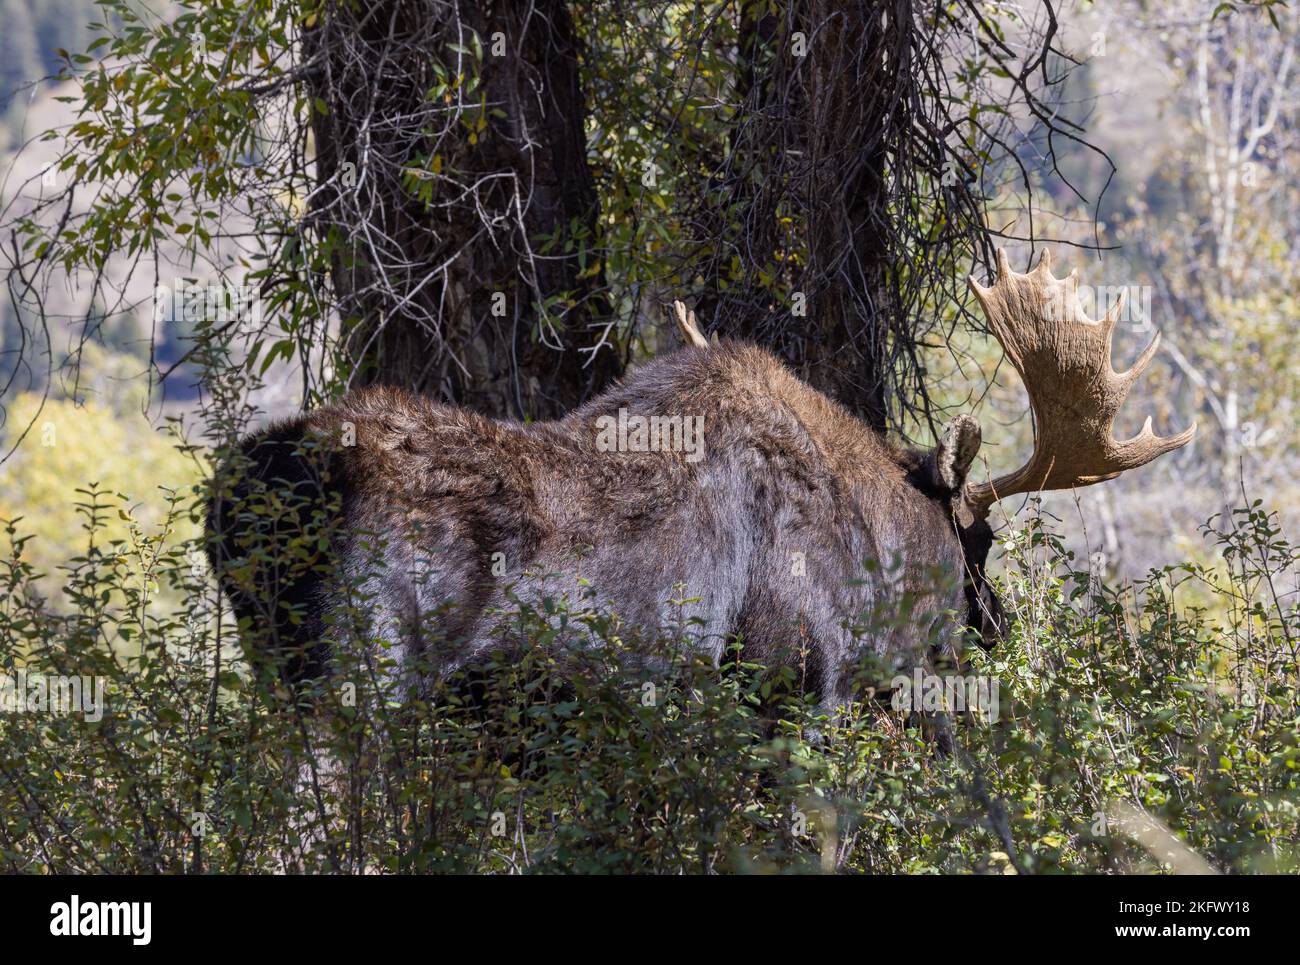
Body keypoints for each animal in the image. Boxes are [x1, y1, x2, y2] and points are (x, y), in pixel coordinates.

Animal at [207, 250, 1195, 732]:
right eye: (980, 542)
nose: (996, 625)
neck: (879, 554)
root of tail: (255, 489)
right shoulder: (791, 687)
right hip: (367, 677)